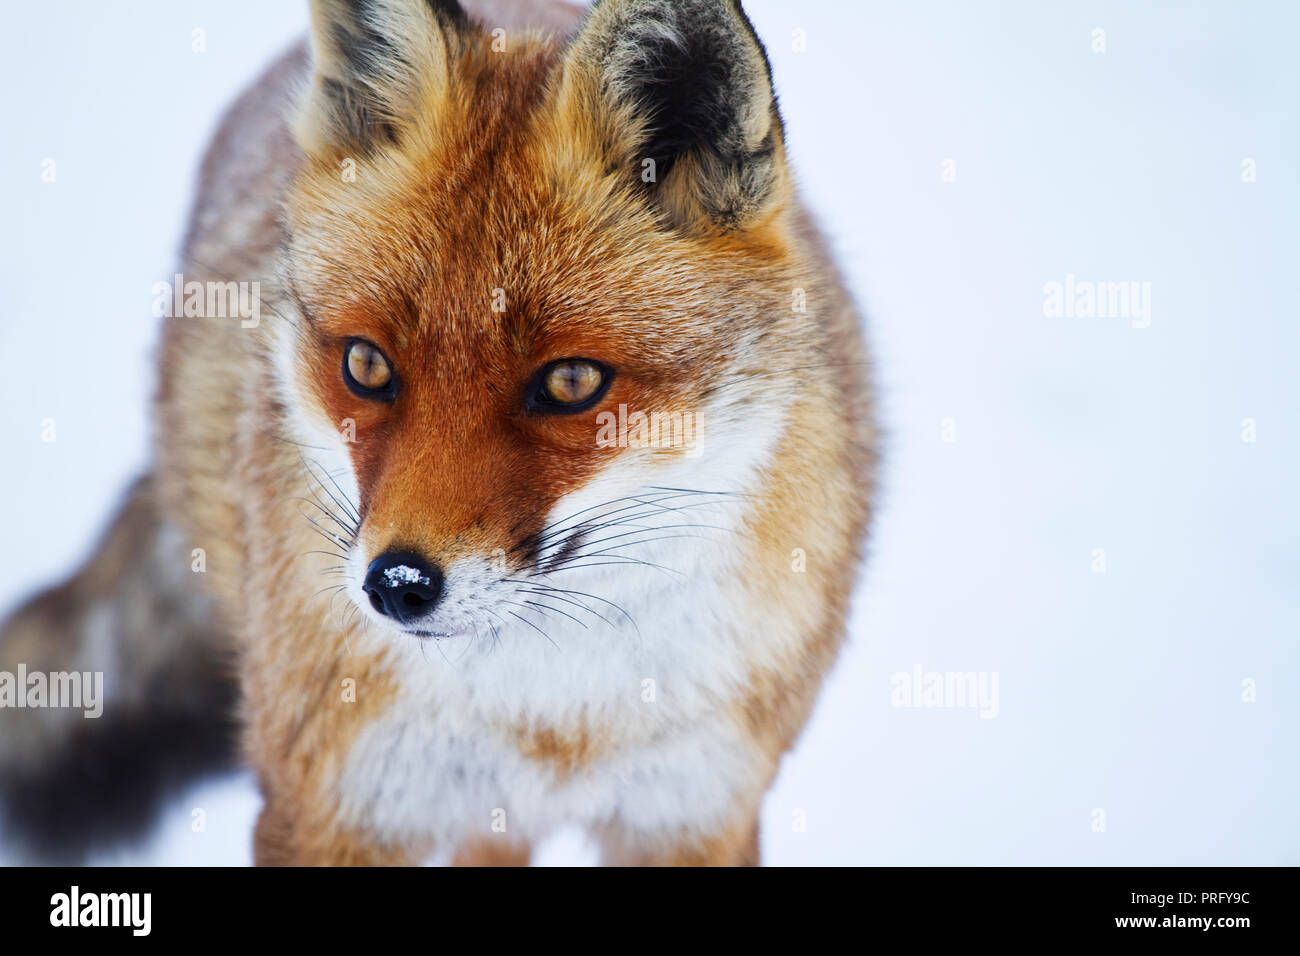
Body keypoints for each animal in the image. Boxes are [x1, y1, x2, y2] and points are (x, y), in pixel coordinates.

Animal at [0, 0, 874, 866]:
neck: (550, 718)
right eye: (366, 365)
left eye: (571, 382)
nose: (397, 586)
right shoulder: (331, 810)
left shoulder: (696, 814)